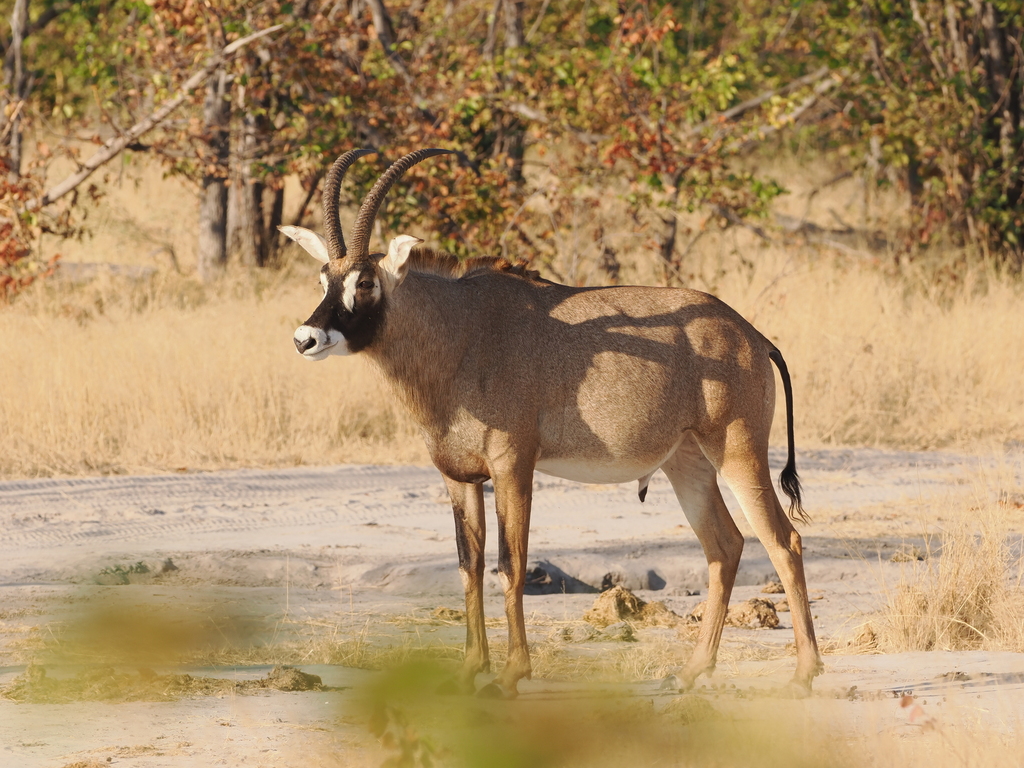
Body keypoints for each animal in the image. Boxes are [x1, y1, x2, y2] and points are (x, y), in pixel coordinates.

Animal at [281, 148, 823, 697]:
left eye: (366, 281)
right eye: (323, 278)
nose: (306, 339)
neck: (461, 332)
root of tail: (754, 337)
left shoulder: (513, 467)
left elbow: (511, 565)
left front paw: (511, 673)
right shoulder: (459, 477)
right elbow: (469, 566)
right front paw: (470, 669)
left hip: (737, 451)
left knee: (784, 542)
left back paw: (804, 674)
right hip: (687, 463)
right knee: (725, 547)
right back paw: (692, 671)